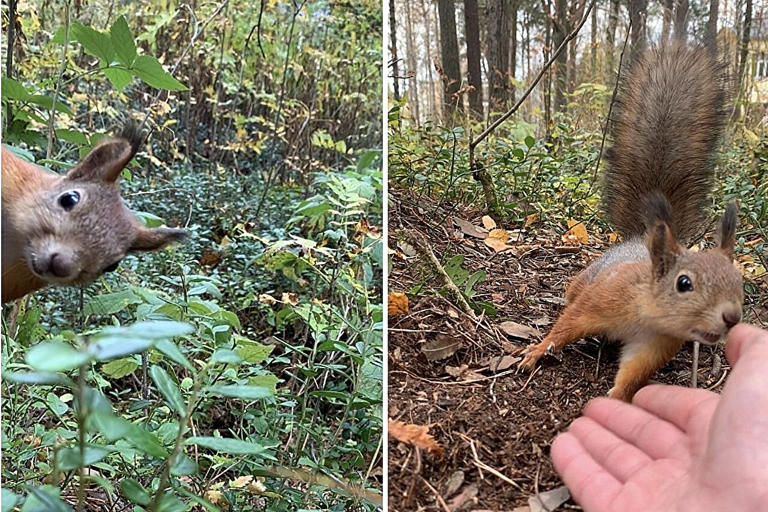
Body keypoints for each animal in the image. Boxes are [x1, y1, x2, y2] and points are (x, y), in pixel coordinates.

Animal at [518, 43, 744, 402]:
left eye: (740, 282)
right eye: (683, 283)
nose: (732, 317)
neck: (647, 312)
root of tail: (640, 239)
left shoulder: (654, 345)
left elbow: (634, 372)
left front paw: (616, 398)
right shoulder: (599, 301)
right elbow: (565, 326)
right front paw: (537, 351)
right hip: (583, 282)